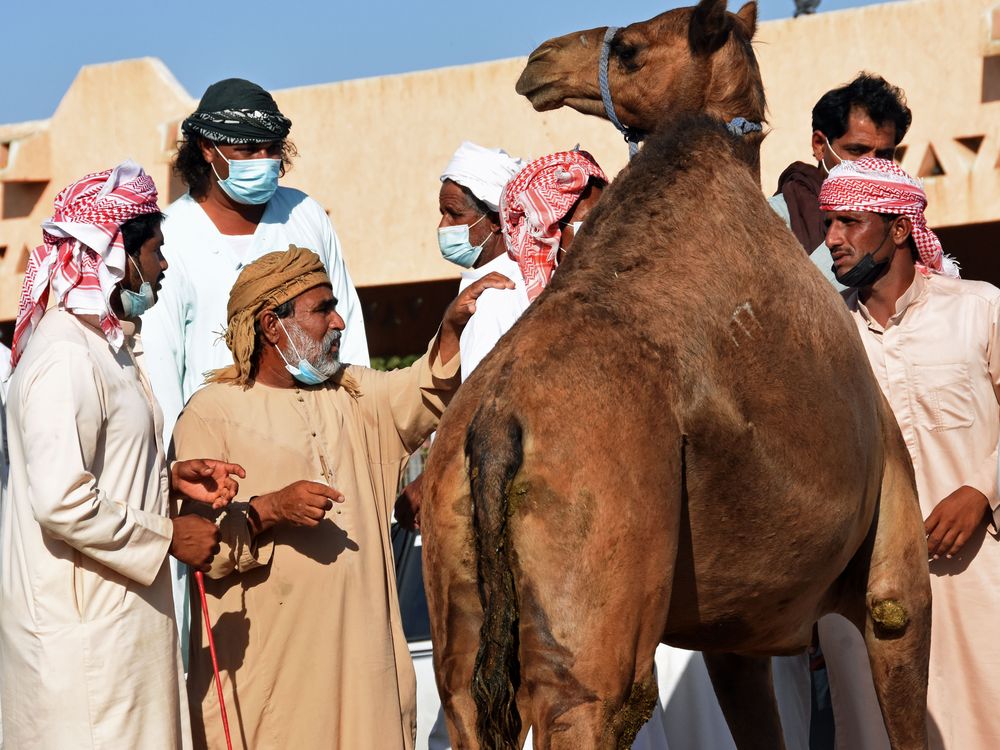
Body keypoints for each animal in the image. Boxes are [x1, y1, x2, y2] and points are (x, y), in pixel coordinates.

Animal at [420, 2, 931, 748]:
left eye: (631, 45)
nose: (539, 61)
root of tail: (493, 425)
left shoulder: (734, 622)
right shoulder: (894, 547)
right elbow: (900, 649)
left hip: (456, 588)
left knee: (464, 699)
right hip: (595, 598)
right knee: (589, 703)